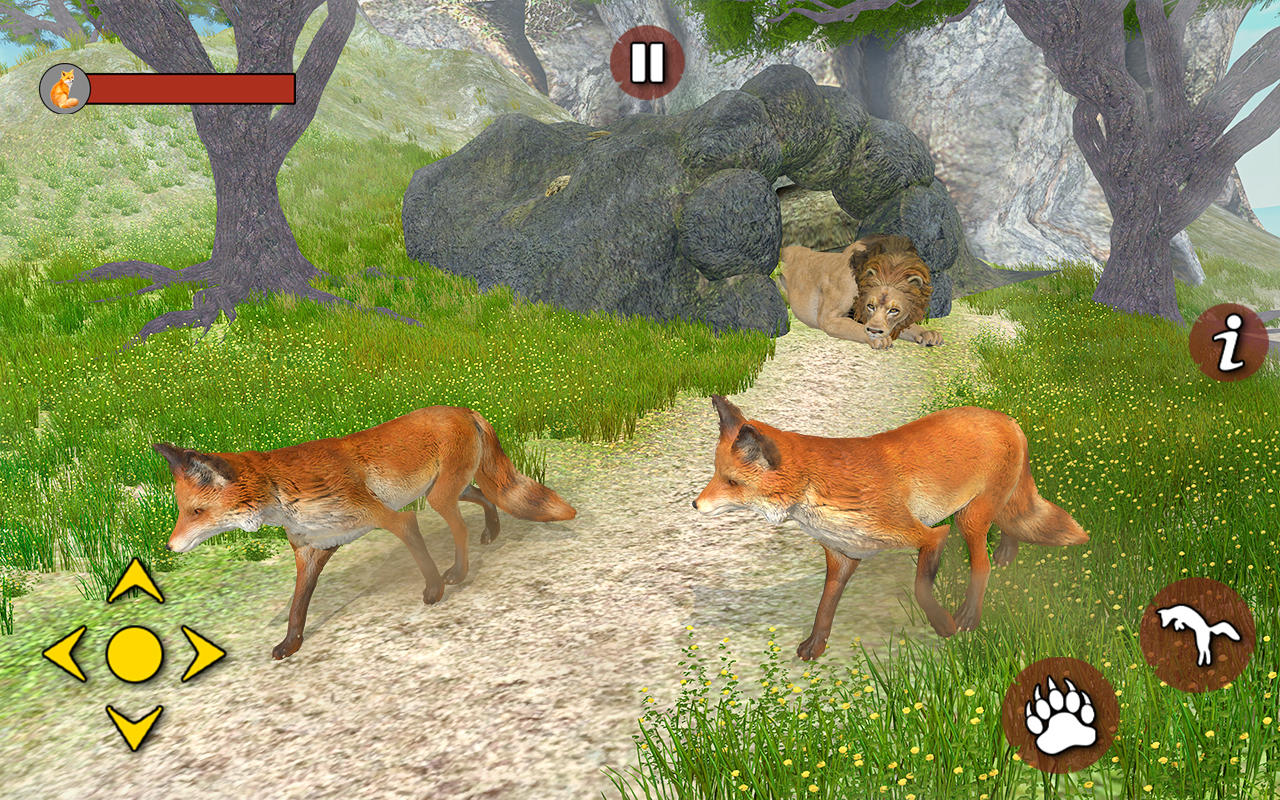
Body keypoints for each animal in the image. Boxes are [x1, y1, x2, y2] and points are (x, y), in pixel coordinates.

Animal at [154, 407, 576, 660]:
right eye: (182, 512)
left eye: (196, 512)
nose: (170, 547)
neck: (282, 493)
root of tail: (462, 409)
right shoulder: (314, 549)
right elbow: (297, 607)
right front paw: (291, 644)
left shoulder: (392, 519)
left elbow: (421, 556)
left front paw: (434, 591)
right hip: (447, 491)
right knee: (485, 497)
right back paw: (491, 531)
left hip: (438, 498)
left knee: (461, 527)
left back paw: (458, 572)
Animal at [693, 396, 1088, 660]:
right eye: (715, 474)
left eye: (731, 482)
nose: (695, 505)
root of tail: (1007, 418)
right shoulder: (844, 555)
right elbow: (824, 609)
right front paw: (815, 646)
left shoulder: (930, 535)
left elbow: (920, 589)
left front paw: (944, 626)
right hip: (986, 508)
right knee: (1010, 525)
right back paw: (1007, 552)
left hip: (968, 520)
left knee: (983, 565)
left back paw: (969, 616)